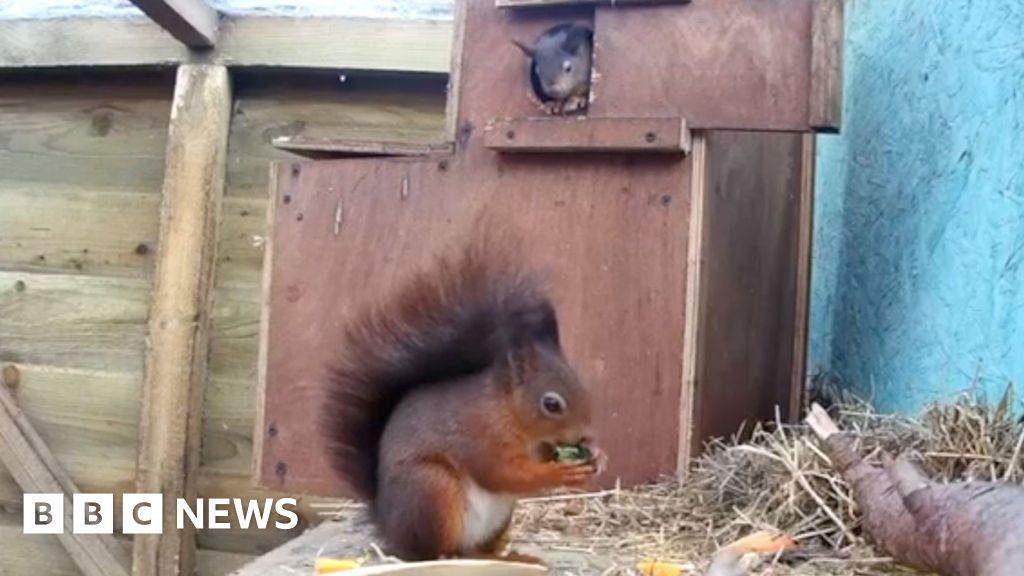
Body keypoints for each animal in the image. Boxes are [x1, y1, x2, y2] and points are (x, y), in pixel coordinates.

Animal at [321, 224, 606, 563]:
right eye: (551, 404)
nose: (587, 435)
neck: (505, 410)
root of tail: (391, 529)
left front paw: (597, 457)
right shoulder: (480, 435)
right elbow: (503, 474)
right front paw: (561, 473)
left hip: (496, 517)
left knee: (474, 549)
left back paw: (509, 557)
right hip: (433, 490)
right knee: (439, 551)